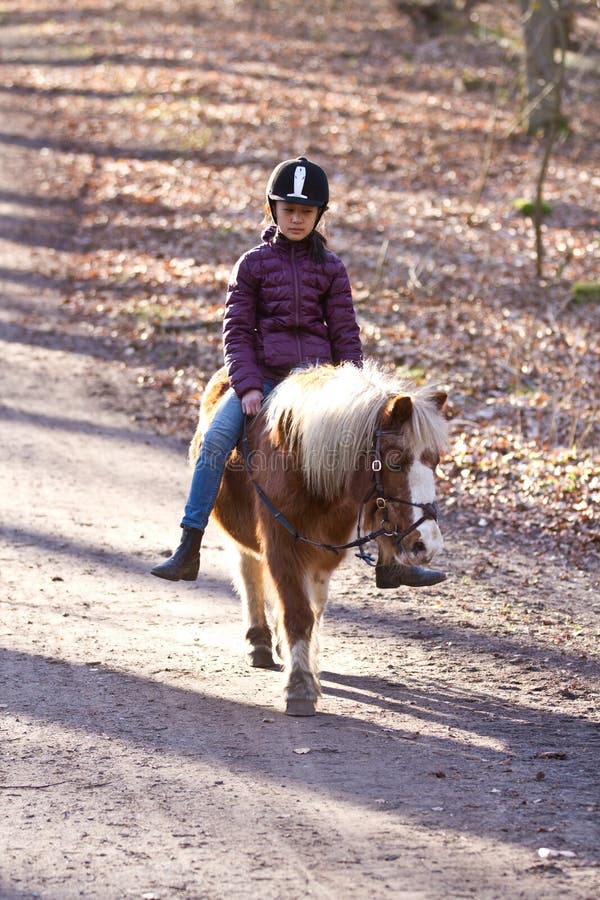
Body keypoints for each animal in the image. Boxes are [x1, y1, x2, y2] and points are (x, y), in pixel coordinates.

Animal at [190, 360, 449, 716]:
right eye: (395, 460)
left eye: (434, 461)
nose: (428, 544)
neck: (305, 470)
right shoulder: (282, 548)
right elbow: (297, 614)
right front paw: (299, 687)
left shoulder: (323, 556)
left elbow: (312, 613)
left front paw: (308, 669)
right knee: (249, 576)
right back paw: (259, 643)